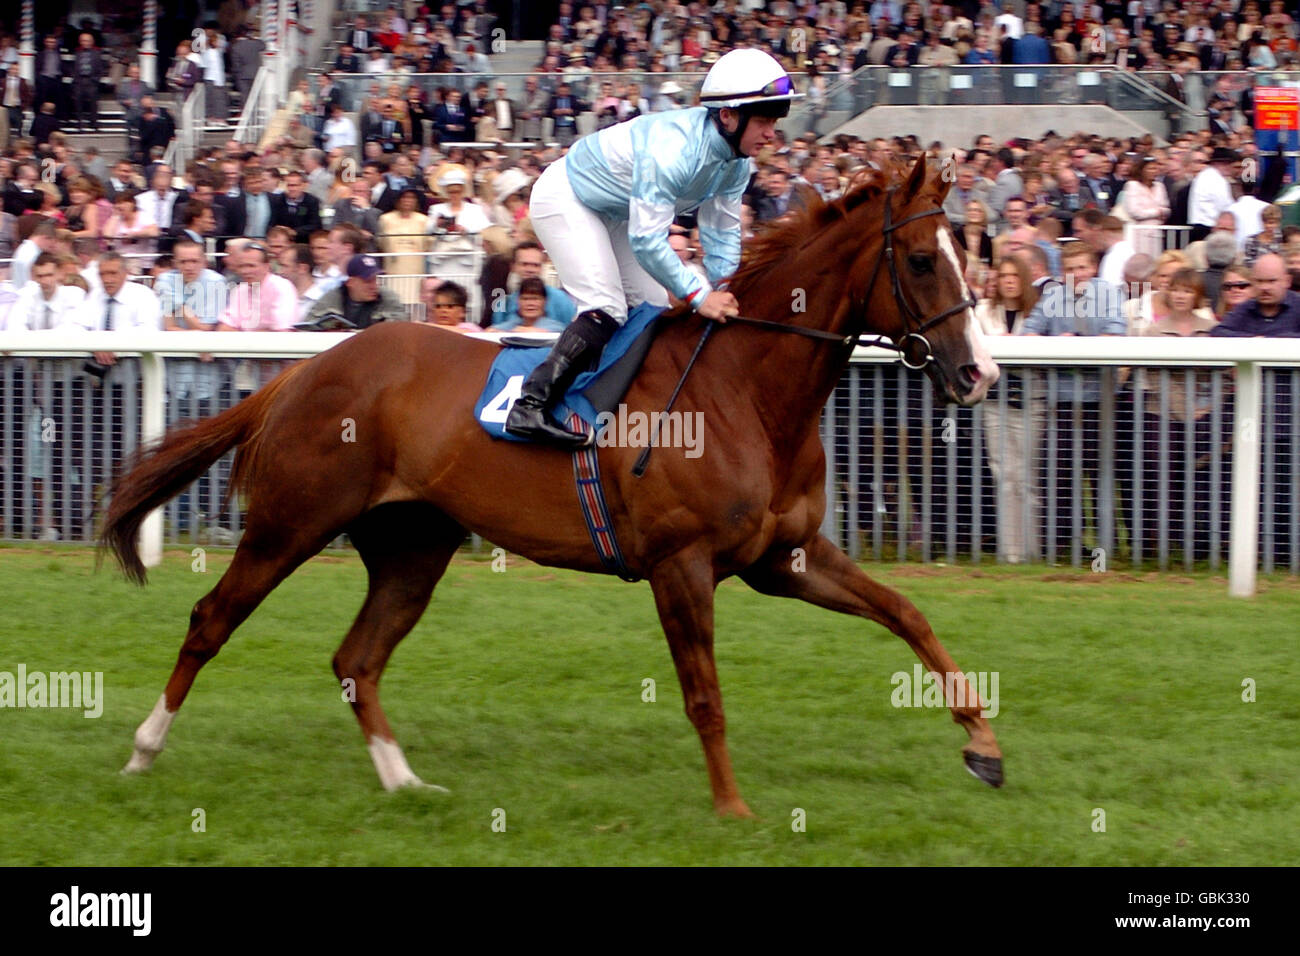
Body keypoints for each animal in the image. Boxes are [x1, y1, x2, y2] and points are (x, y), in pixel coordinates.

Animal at [102, 157, 1003, 818]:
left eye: (971, 254)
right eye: (922, 260)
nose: (980, 374)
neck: (746, 390)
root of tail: (306, 370)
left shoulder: (783, 558)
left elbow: (908, 614)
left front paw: (983, 746)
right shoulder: (682, 565)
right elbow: (704, 695)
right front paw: (734, 809)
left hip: (413, 545)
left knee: (357, 657)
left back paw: (405, 781)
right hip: (292, 521)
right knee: (211, 620)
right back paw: (143, 750)